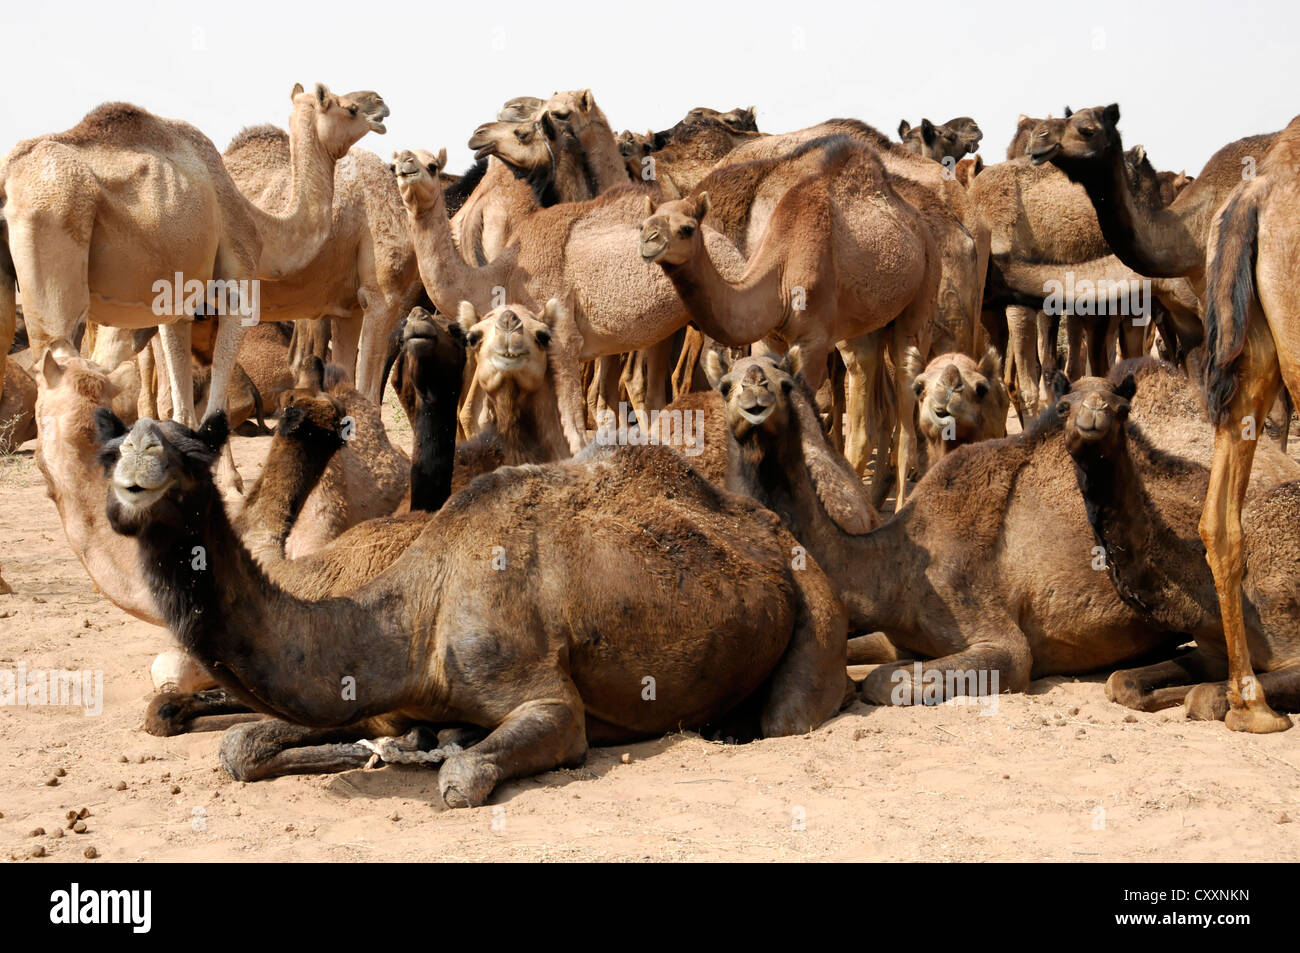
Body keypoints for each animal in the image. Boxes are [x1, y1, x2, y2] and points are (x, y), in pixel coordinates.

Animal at [0, 83, 387, 490]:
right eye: (348, 107)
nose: (381, 105)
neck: (260, 226)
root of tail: (9, 174)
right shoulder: (237, 296)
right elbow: (214, 408)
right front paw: (228, 485)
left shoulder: (177, 311)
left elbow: (182, 410)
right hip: (55, 226)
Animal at [99, 407, 848, 805]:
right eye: (115, 448)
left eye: (189, 453)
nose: (136, 464)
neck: (419, 611)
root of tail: (772, 530)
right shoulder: (378, 692)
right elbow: (241, 743)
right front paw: (404, 745)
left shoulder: (544, 697)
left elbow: (466, 775)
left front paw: (437, 752)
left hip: (816, 597)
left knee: (787, 715)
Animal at [638, 137, 941, 509]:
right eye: (645, 223)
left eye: (686, 228)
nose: (649, 241)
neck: (780, 277)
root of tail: (920, 225)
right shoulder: (768, 338)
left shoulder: (812, 342)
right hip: (863, 328)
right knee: (863, 407)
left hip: (922, 292)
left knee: (906, 393)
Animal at [1060, 362, 1300, 721]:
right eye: (1062, 406)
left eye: (1122, 409)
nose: (1093, 413)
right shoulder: (1212, 652)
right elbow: (1120, 682)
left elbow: (1203, 697)